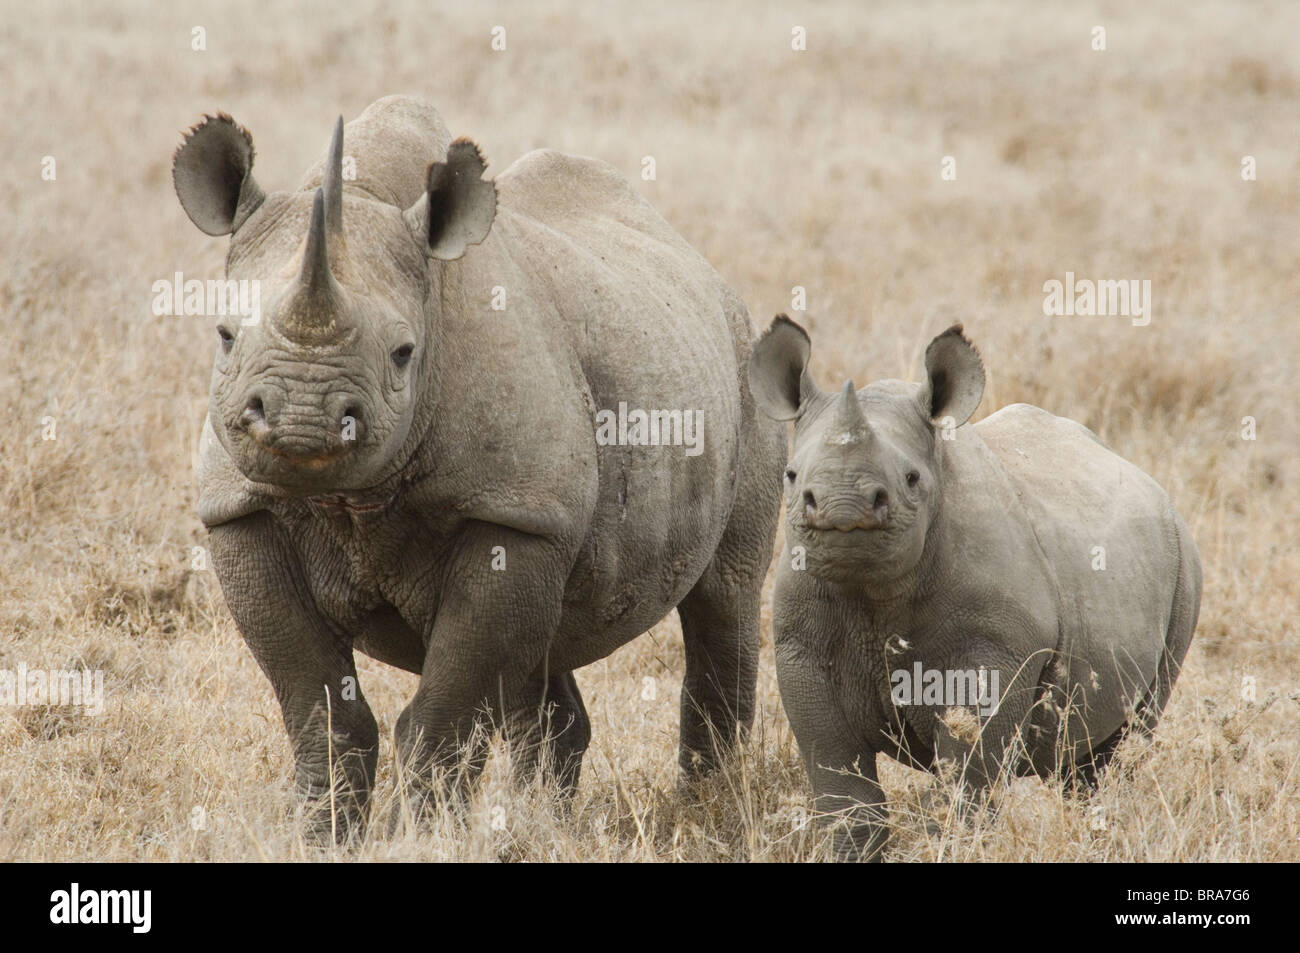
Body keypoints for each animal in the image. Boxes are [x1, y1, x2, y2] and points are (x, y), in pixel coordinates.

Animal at [171, 95, 783, 837]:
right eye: (225, 337)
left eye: (404, 353)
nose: (301, 422)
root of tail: (709, 274)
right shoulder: (241, 509)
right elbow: (320, 709)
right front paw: (321, 837)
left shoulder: (512, 514)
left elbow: (445, 712)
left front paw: (419, 840)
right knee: (544, 647)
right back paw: (547, 822)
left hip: (746, 370)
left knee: (724, 593)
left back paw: (707, 813)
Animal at [747, 315, 1201, 860]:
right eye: (791, 476)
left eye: (912, 479)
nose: (842, 507)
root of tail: (1151, 483)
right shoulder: (802, 647)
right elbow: (843, 788)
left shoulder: (995, 648)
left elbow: (969, 777)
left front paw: (959, 845)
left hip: (1186, 565)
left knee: (1124, 742)